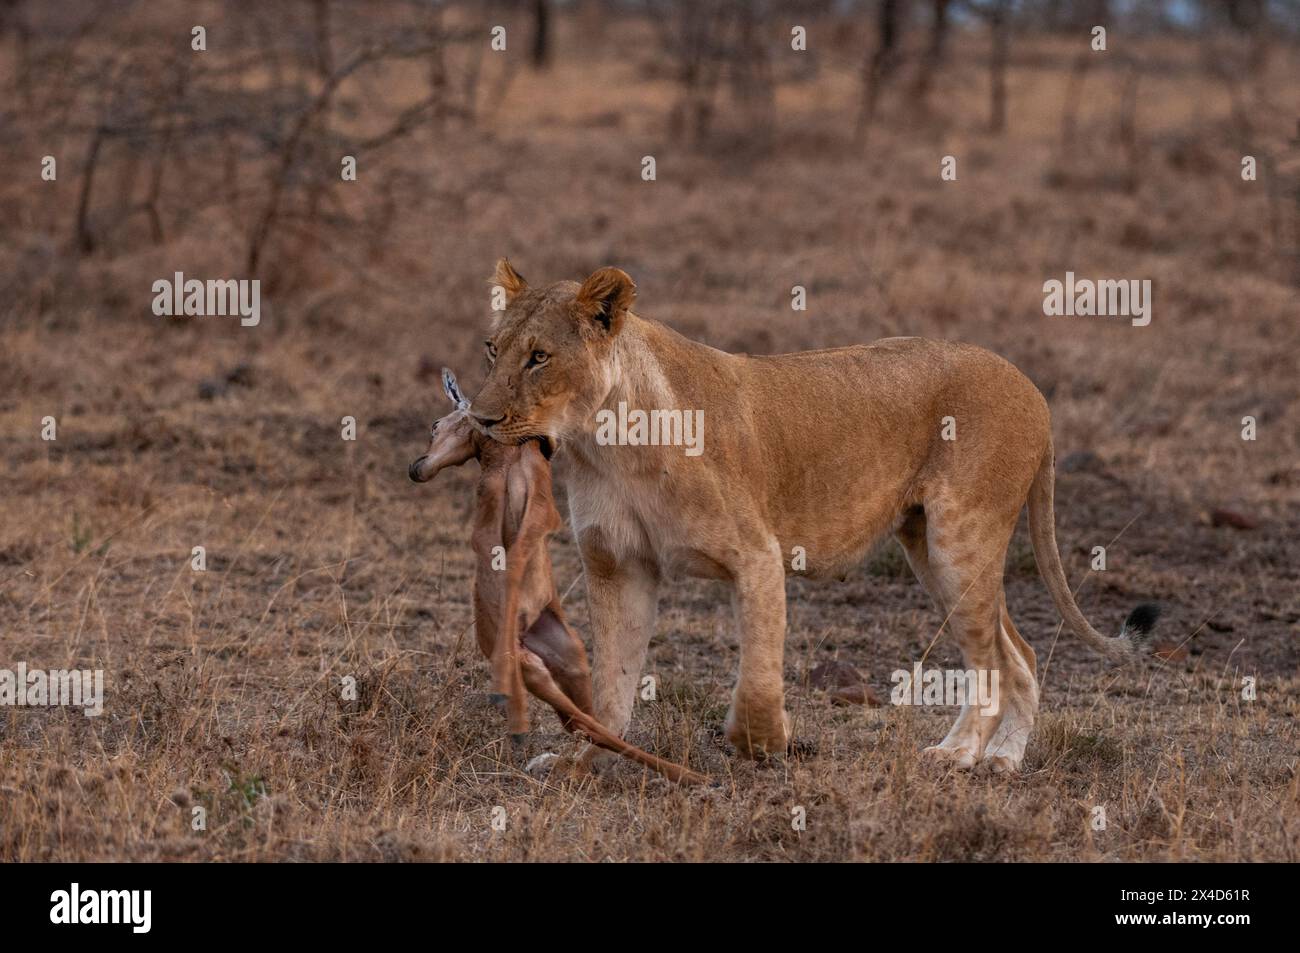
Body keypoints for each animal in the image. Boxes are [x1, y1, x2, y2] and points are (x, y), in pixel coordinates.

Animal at [460, 259, 1160, 773]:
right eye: (493, 349)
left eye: (539, 357)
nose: (481, 420)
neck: (604, 443)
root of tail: (1031, 387)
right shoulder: (619, 566)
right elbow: (610, 685)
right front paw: (581, 761)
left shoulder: (757, 555)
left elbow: (758, 676)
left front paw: (764, 743)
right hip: (929, 547)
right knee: (1021, 652)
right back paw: (1005, 760)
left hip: (961, 539)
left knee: (992, 658)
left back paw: (959, 754)